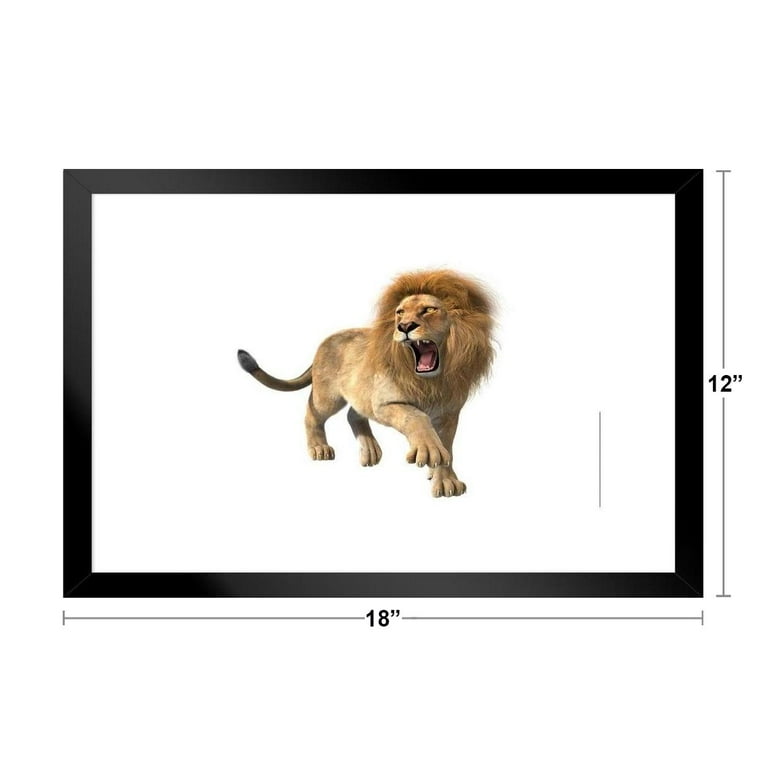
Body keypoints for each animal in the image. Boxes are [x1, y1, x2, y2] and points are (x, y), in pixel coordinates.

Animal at [237, 269, 495, 497]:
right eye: (400, 312)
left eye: (429, 309)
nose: (404, 327)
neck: (433, 381)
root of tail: (324, 342)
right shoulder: (385, 403)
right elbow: (416, 417)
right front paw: (430, 452)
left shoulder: (449, 414)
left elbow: (447, 448)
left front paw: (444, 480)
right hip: (327, 397)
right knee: (312, 413)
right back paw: (319, 448)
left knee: (353, 414)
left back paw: (370, 451)